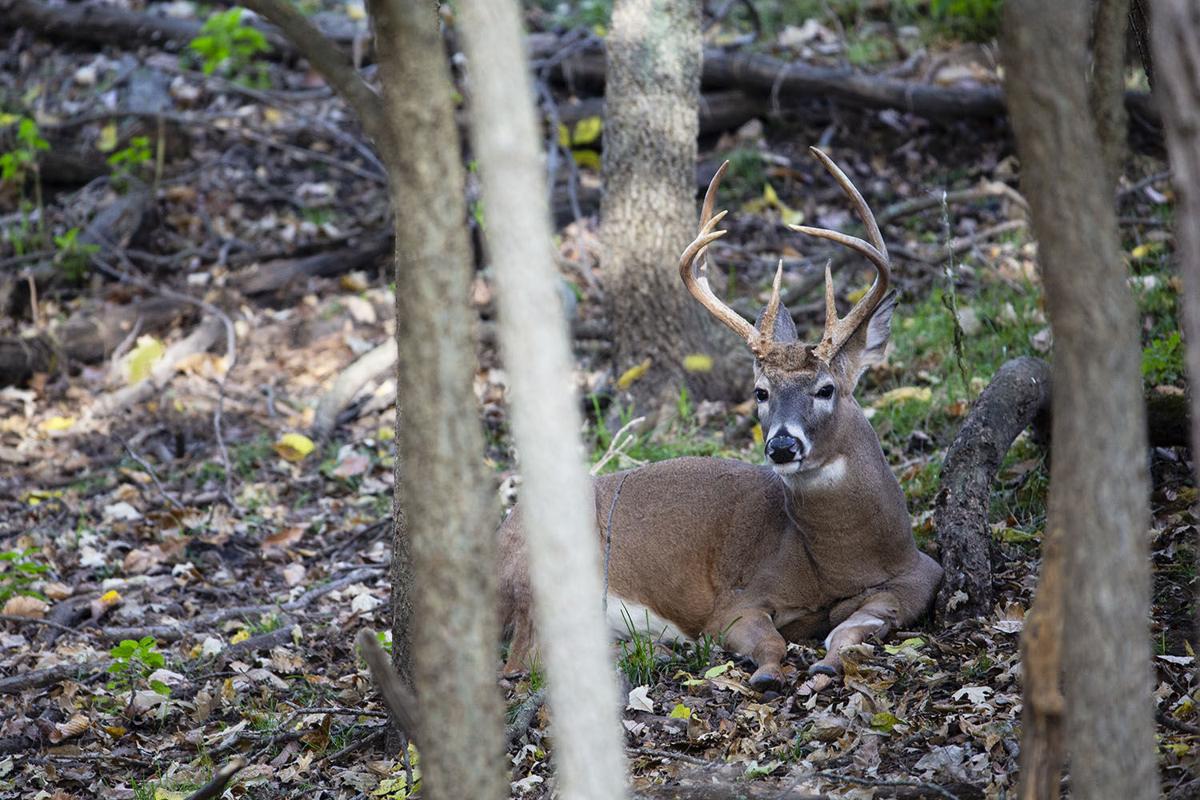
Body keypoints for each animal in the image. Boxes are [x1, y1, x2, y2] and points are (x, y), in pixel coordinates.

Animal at [498, 147, 943, 694]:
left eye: (826, 389)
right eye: (760, 392)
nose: (782, 446)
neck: (838, 563)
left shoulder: (920, 574)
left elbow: (856, 626)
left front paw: (827, 663)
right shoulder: (736, 598)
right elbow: (769, 639)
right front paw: (772, 673)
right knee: (522, 664)